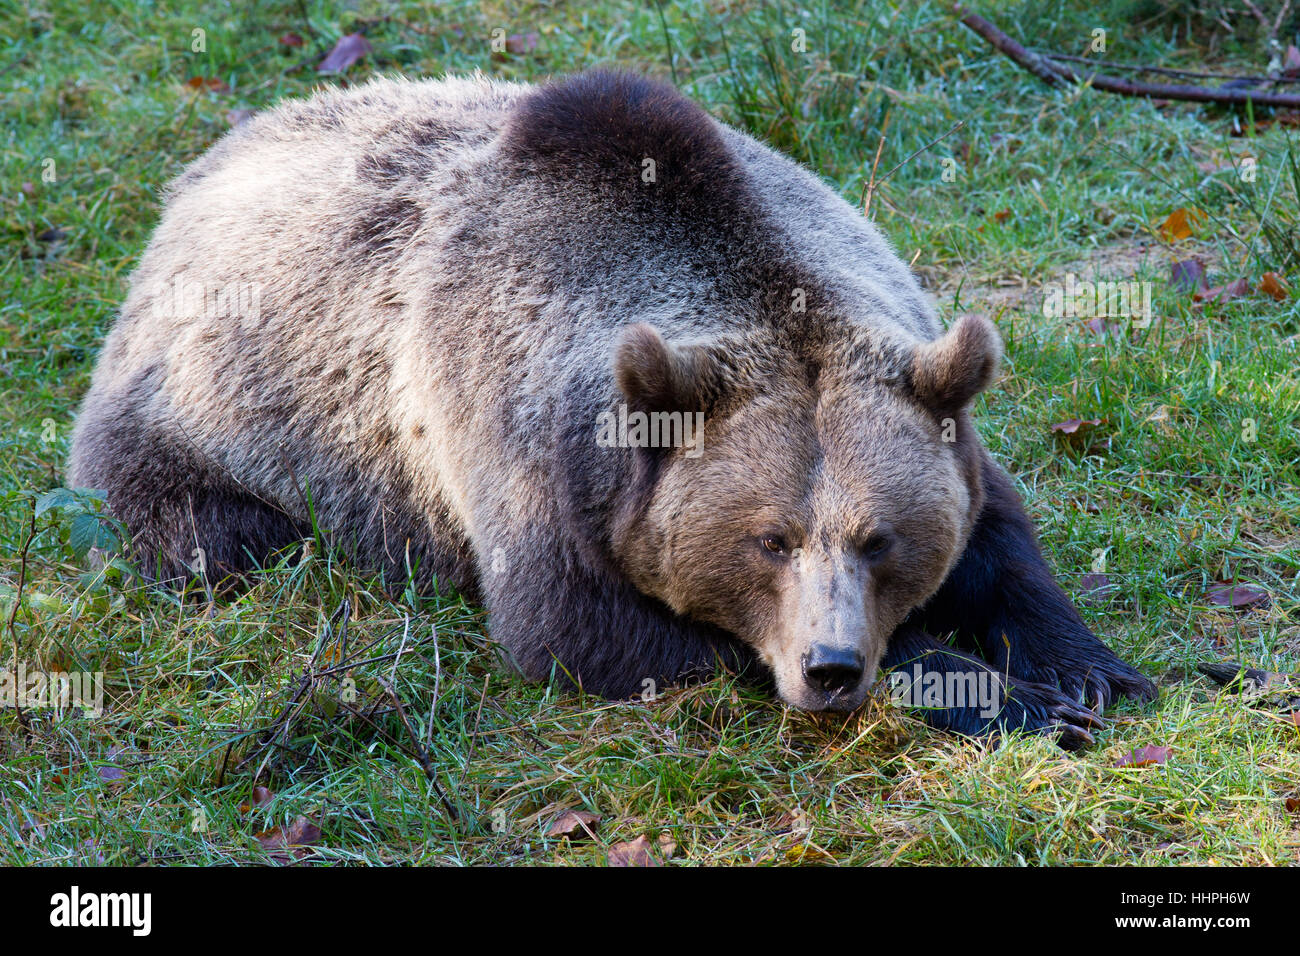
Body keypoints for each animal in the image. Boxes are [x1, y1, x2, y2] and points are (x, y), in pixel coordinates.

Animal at [68, 70, 1156, 747]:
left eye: (879, 537)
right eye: (769, 538)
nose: (832, 665)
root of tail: (200, 173)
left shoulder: (928, 401)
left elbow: (1002, 541)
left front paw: (1088, 670)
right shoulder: (530, 467)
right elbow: (593, 629)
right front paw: (1003, 694)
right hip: (197, 409)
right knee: (207, 534)